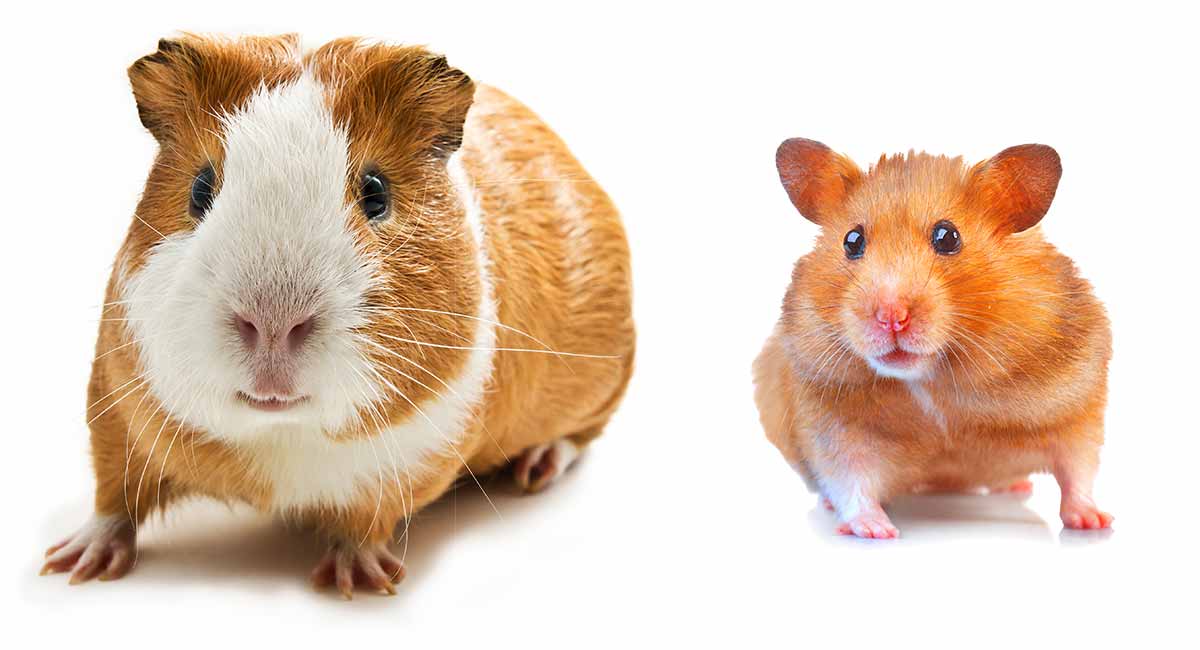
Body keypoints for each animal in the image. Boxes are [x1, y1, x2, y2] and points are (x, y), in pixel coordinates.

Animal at [41, 34, 635, 596]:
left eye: (375, 193)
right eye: (200, 188)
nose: (272, 324)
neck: (280, 435)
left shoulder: (406, 469)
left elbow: (365, 525)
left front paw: (360, 580)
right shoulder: (114, 407)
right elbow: (113, 499)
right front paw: (71, 564)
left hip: (602, 382)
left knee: (580, 435)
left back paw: (538, 469)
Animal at [753, 138, 1112, 539]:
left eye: (948, 236)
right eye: (852, 240)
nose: (891, 316)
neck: (932, 380)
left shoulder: (1078, 404)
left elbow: (1078, 468)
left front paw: (1095, 522)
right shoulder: (834, 424)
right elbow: (851, 479)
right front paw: (878, 531)